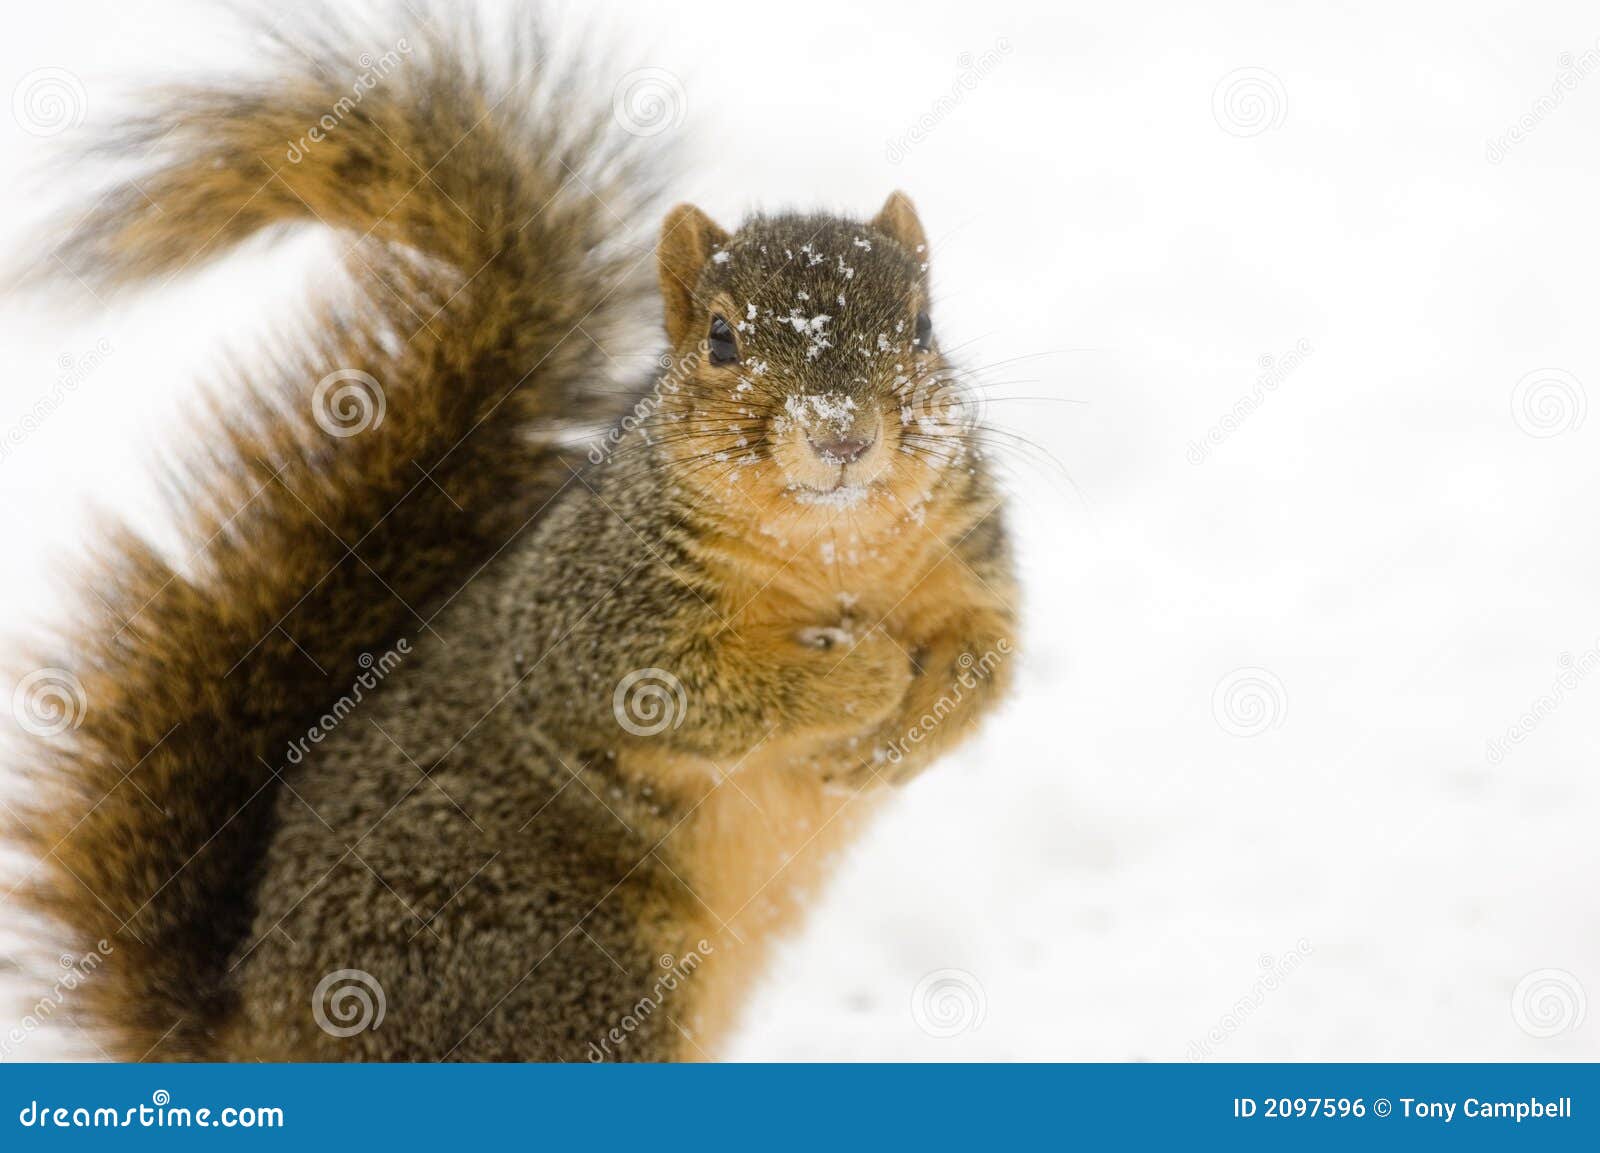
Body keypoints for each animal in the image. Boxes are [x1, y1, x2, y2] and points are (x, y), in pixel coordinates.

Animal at [7, 18, 1018, 1061]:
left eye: (923, 325)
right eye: (722, 340)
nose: (841, 433)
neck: (833, 547)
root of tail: (263, 1030)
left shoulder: (967, 555)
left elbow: (990, 656)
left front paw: (902, 737)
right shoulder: (595, 619)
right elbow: (681, 695)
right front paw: (860, 676)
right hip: (566, 965)